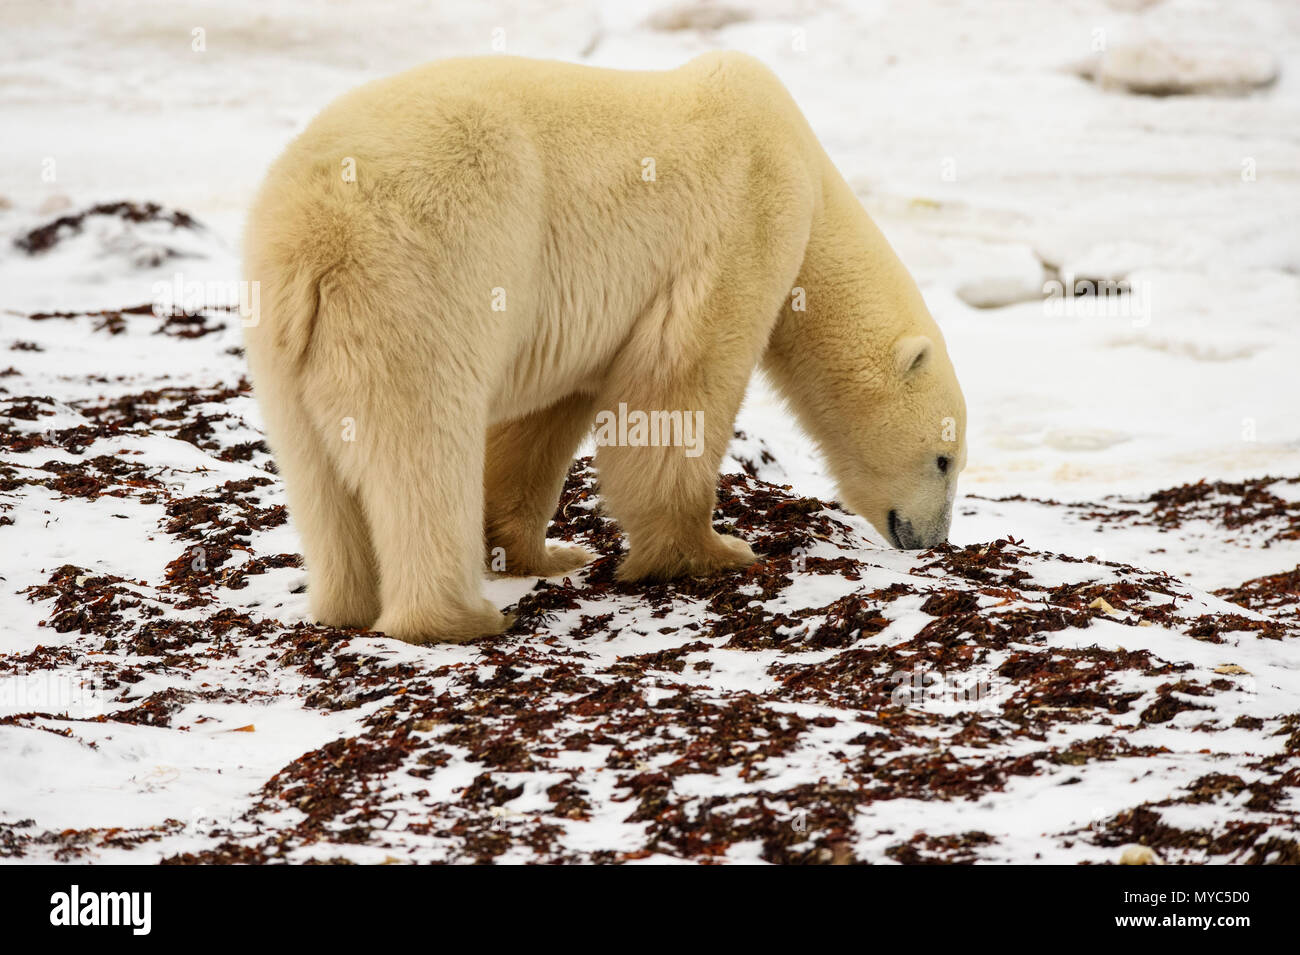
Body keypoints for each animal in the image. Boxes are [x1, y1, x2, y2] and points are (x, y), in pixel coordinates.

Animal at [242, 52, 967, 645]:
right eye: (944, 460)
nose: (932, 540)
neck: (810, 181)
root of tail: (315, 233)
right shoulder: (741, 220)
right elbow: (680, 385)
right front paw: (713, 549)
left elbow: (547, 418)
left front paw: (543, 552)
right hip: (426, 278)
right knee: (422, 444)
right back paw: (458, 618)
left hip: (282, 332)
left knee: (317, 471)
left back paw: (346, 605)